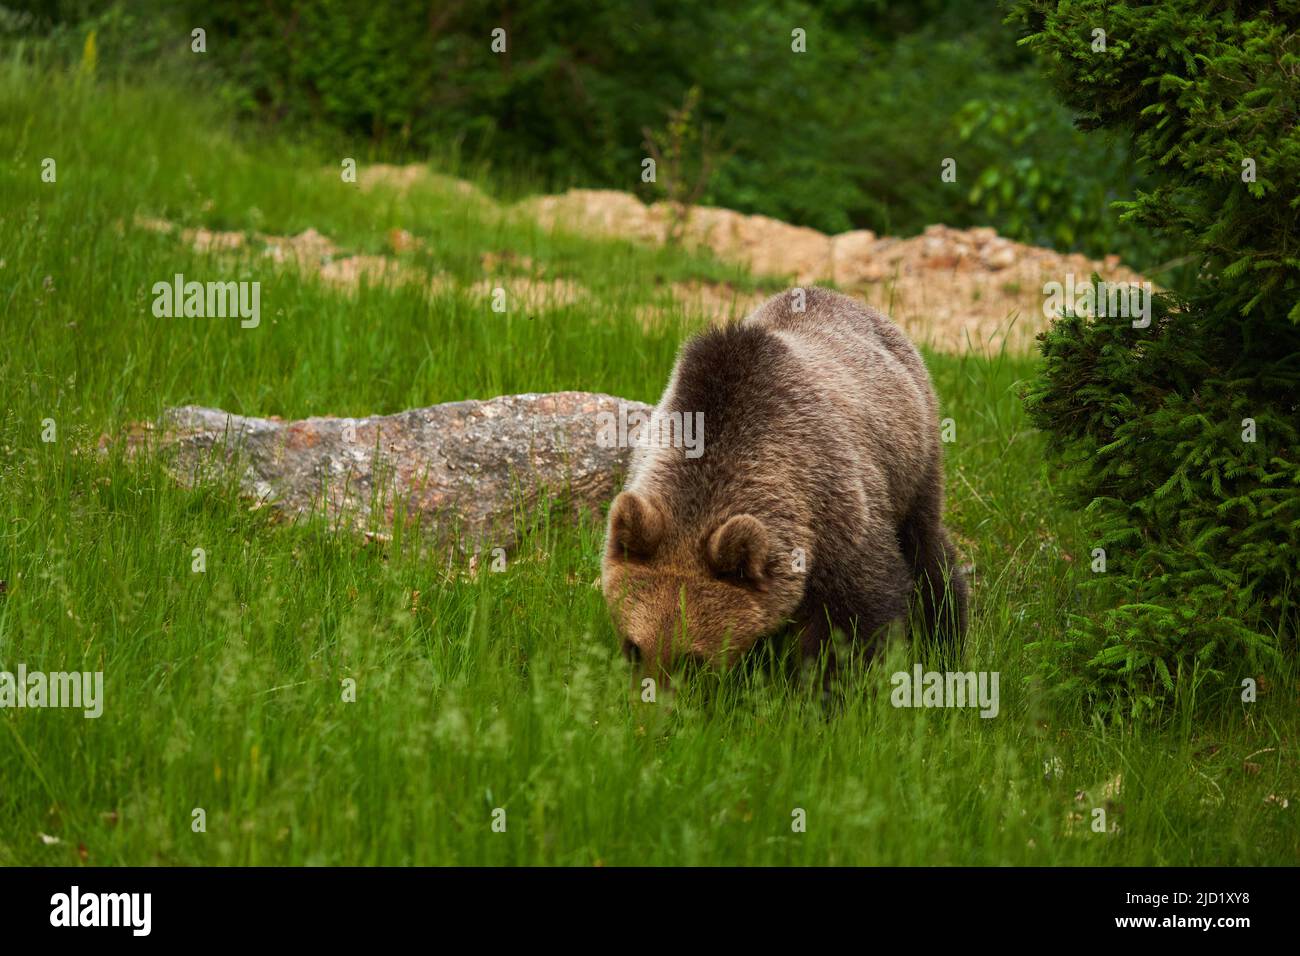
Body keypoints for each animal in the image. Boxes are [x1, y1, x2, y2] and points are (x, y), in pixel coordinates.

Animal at [601, 286, 967, 678]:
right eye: (634, 647)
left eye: (693, 660)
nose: (654, 691)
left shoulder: (835, 512)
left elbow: (857, 614)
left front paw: (833, 681)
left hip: (912, 460)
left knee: (927, 550)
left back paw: (947, 635)